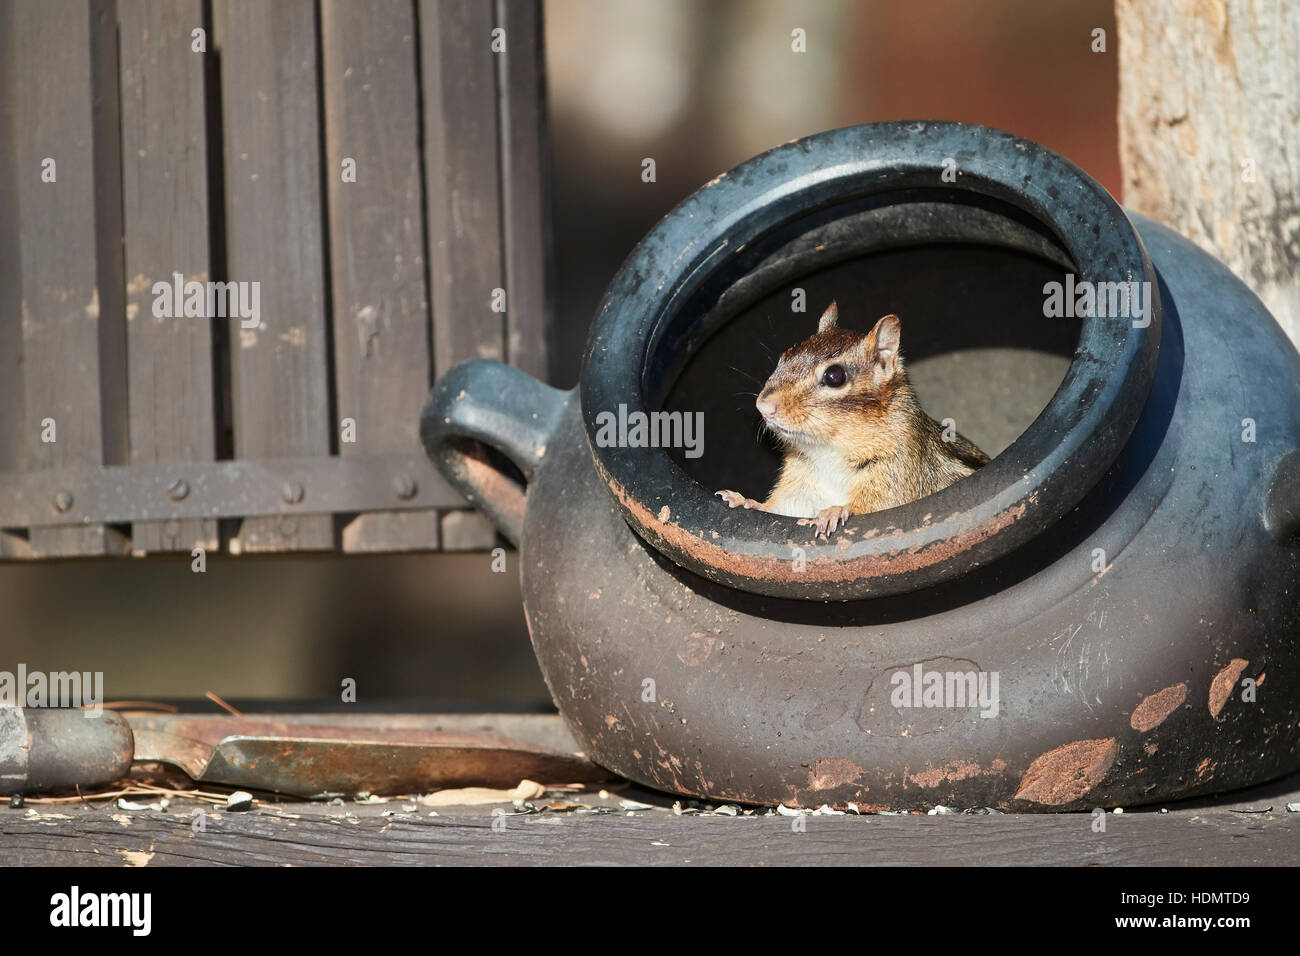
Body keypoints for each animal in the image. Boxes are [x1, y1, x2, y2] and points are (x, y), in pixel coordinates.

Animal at [717, 301, 990, 537]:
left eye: (834, 376)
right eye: (784, 357)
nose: (763, 407)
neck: (828, 451)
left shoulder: (898, 473)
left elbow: (874, 506)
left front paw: (836, 510)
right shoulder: (802, 487)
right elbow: (781, 508)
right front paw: (745, 501)